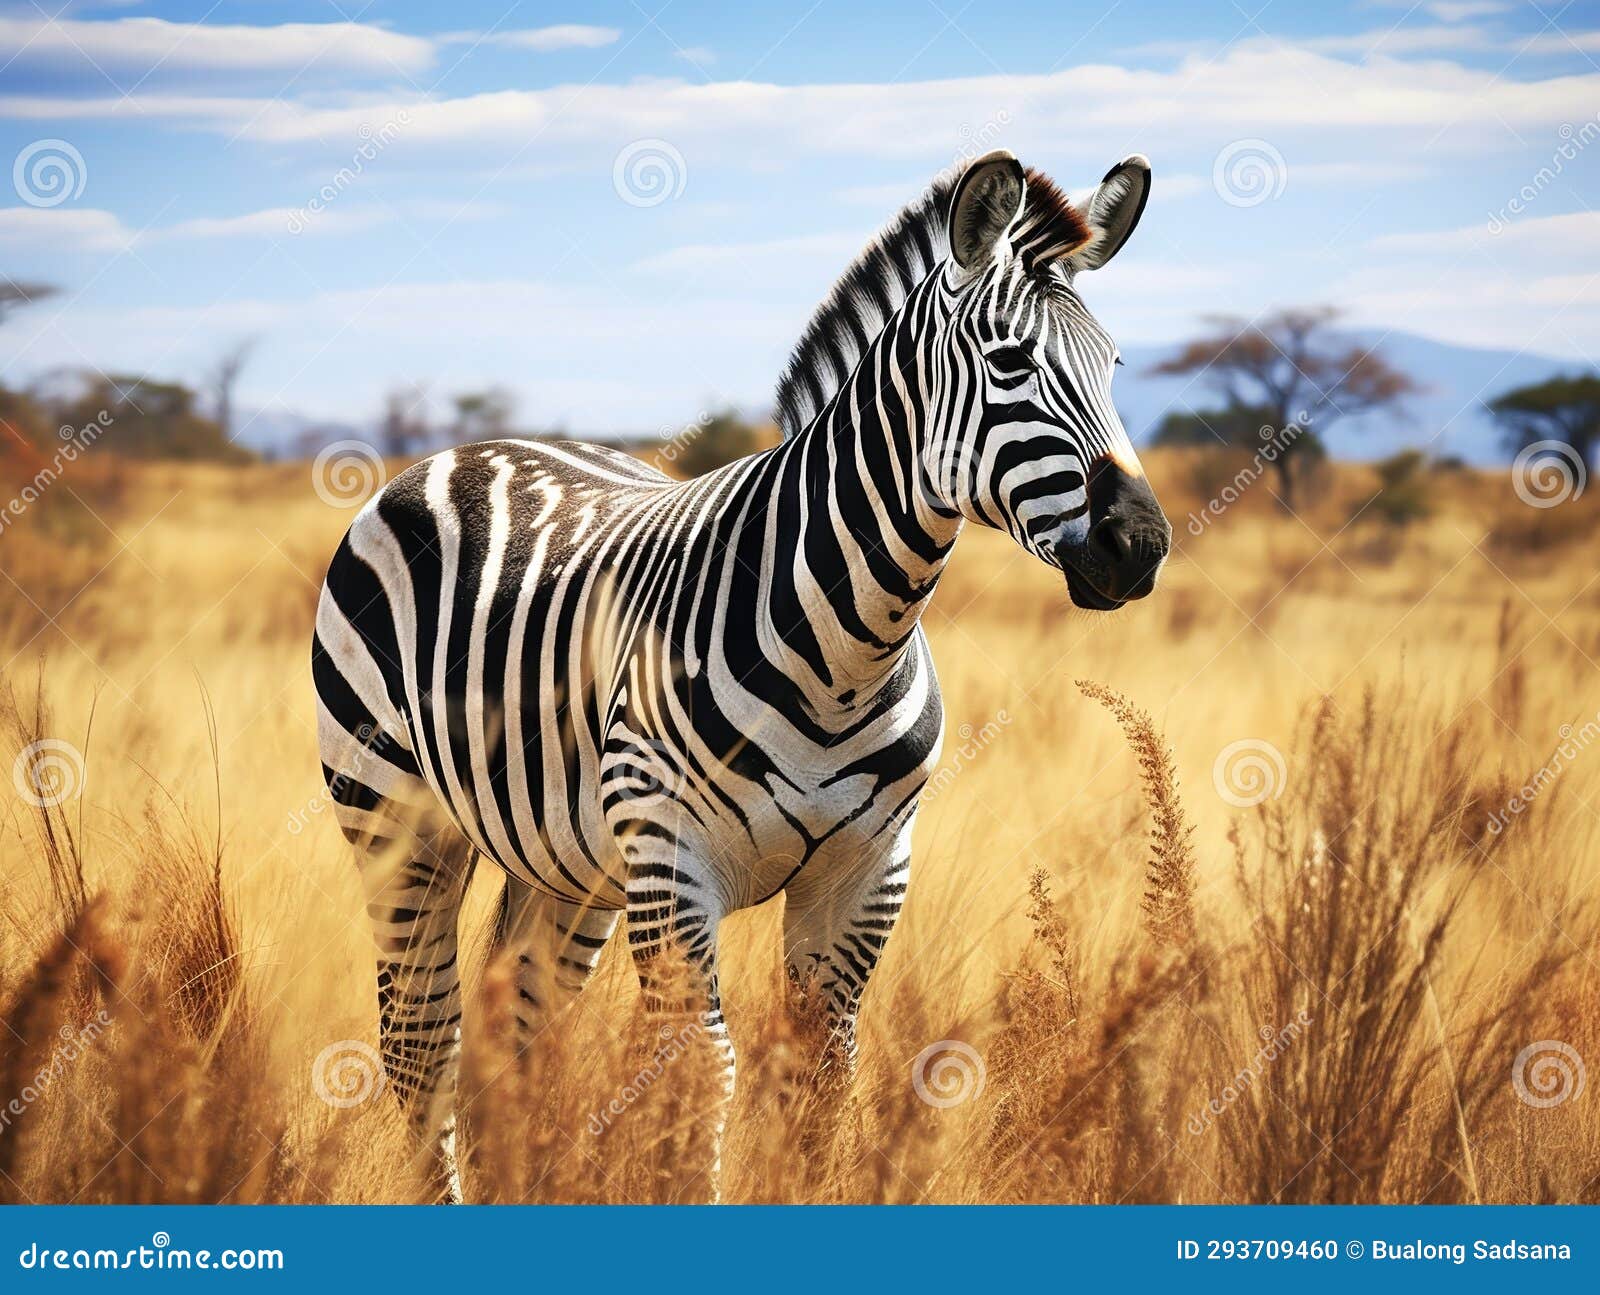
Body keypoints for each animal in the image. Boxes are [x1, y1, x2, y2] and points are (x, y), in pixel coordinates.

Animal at [311, 149, 1171, 1200]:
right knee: (419, 1041)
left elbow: (823, 1076)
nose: (1140, 545)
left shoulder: (867, 871)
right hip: (395, 818)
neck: (848, 650)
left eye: (1115, 366)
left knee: (512, 1034)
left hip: (565, 864)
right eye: (1010, 363)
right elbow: (701, 1076)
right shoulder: (673, 861)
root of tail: (475, 447)